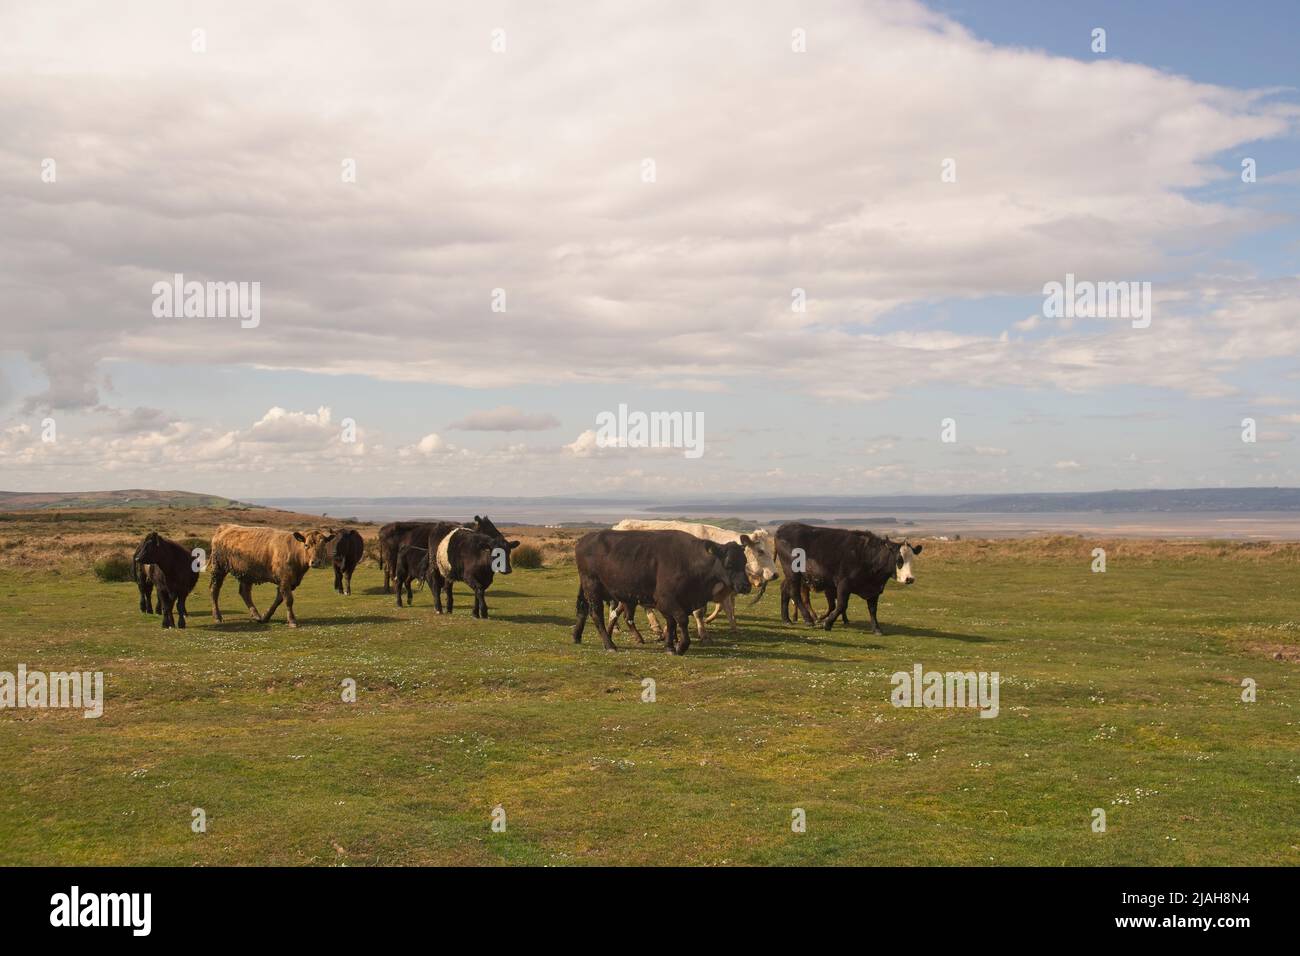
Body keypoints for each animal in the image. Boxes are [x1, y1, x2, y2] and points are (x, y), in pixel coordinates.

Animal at [572, 529, 753, 655]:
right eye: (729, 563)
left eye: (744, 561)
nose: (746, 586)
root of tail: (584, 539)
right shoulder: (666, 599)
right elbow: (681, 619)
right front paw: (681, 646)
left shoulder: (675, 603)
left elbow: (672, 622)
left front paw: (669, 646)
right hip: (593, 588)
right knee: (596, 615)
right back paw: (609, 645)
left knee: (584, 610)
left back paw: (577, 636)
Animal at [608, 519, 778, 641]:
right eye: (760, 551)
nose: (775, 574)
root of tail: (618, 526)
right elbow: (699, 612)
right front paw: (703, 633)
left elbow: (727, 608)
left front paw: (734, 628)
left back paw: (654, 626)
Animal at [775, 523, 921, 633]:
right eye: (899, 559)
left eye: (912, 559)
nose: (910, 578)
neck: (868, 555)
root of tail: (783, 528)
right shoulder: (843, 585)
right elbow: (841, 606)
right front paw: (827, 623)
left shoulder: (874, 589)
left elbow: (873, 609)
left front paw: (877, 628)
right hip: (793, 574)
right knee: (795, 593)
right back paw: (808, 619)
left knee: (785, 590)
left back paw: (786, 619)